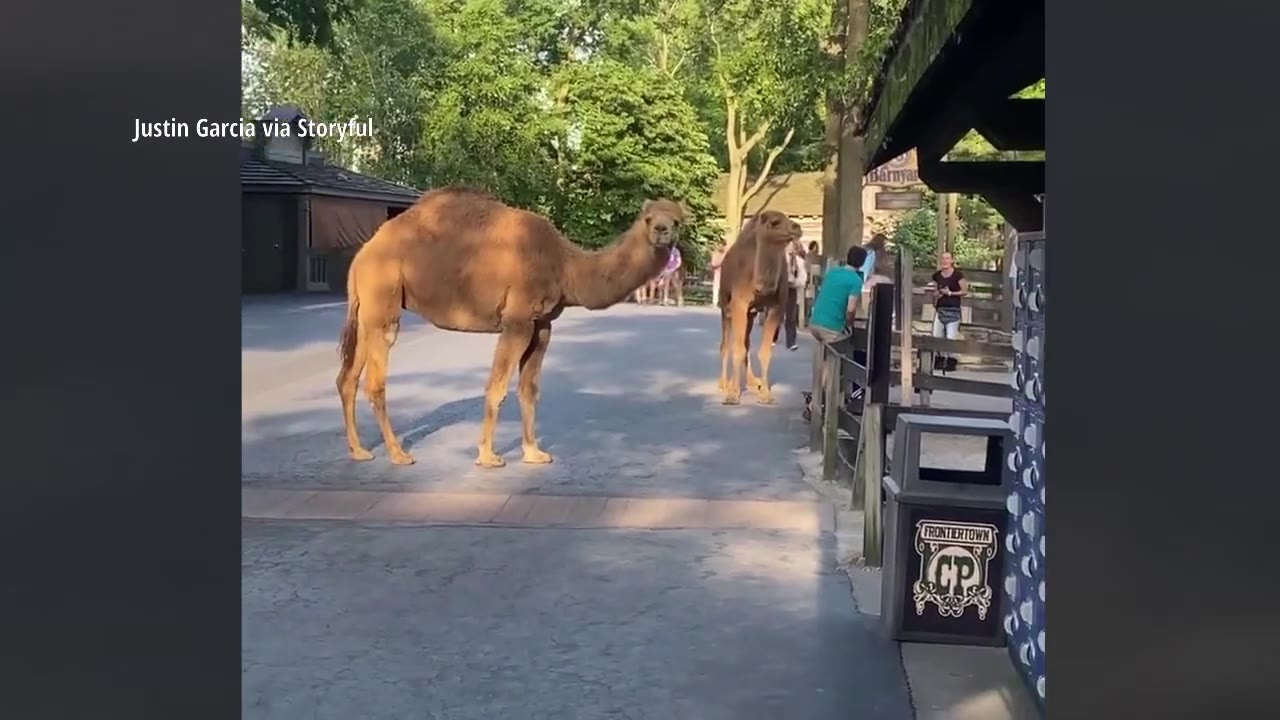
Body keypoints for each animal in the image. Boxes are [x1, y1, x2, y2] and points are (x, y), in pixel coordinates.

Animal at [336, 186, 686, 468]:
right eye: (648, 218)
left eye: (678, 220)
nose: (662, 231)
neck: (566, 266)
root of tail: (363, 254)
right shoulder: (517, 319)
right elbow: (498, 386)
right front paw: (488, 456)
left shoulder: (542, 324)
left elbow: (528, 389)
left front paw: (533, 453)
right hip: (383, 297)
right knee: (375, 382)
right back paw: (398, 454)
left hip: (366, 310)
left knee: (347, 378)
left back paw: (358, 450)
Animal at [715, 209, 803, 405]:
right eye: (774, 222)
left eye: (788, 218)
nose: (797, 227)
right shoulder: (738, 304)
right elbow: (737, 349)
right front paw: (732, 395)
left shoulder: (776, 307)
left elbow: (764, 352)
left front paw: (766, 394)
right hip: (725, 305)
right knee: (726, 345)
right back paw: (724, 385)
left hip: (751, 314)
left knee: (745, 343)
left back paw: (751, 383)